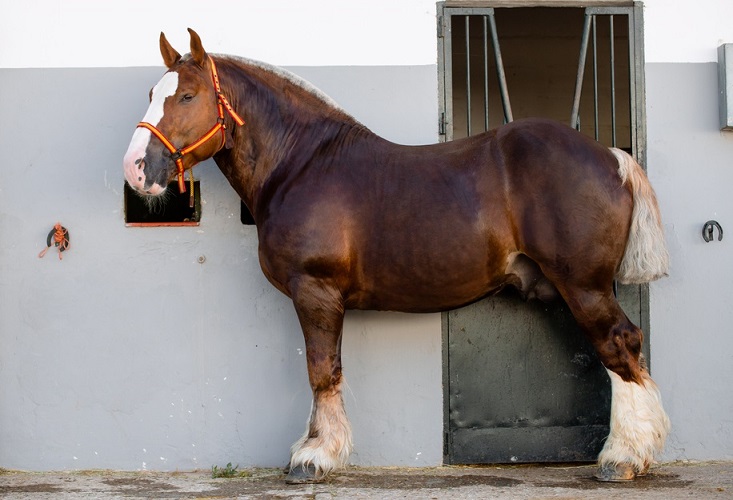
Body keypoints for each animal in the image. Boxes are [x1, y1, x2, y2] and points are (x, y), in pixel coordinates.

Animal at [123, 29, 670, 484]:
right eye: (151, 94)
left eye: (187, 95)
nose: (135, 168)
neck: (302, 164)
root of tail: (611, 157)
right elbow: (323, 371)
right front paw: (313, 446)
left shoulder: (316, 291)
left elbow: (321, 370)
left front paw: (315, 457)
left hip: (584, 286)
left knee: (620, 346)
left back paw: (623, 457)